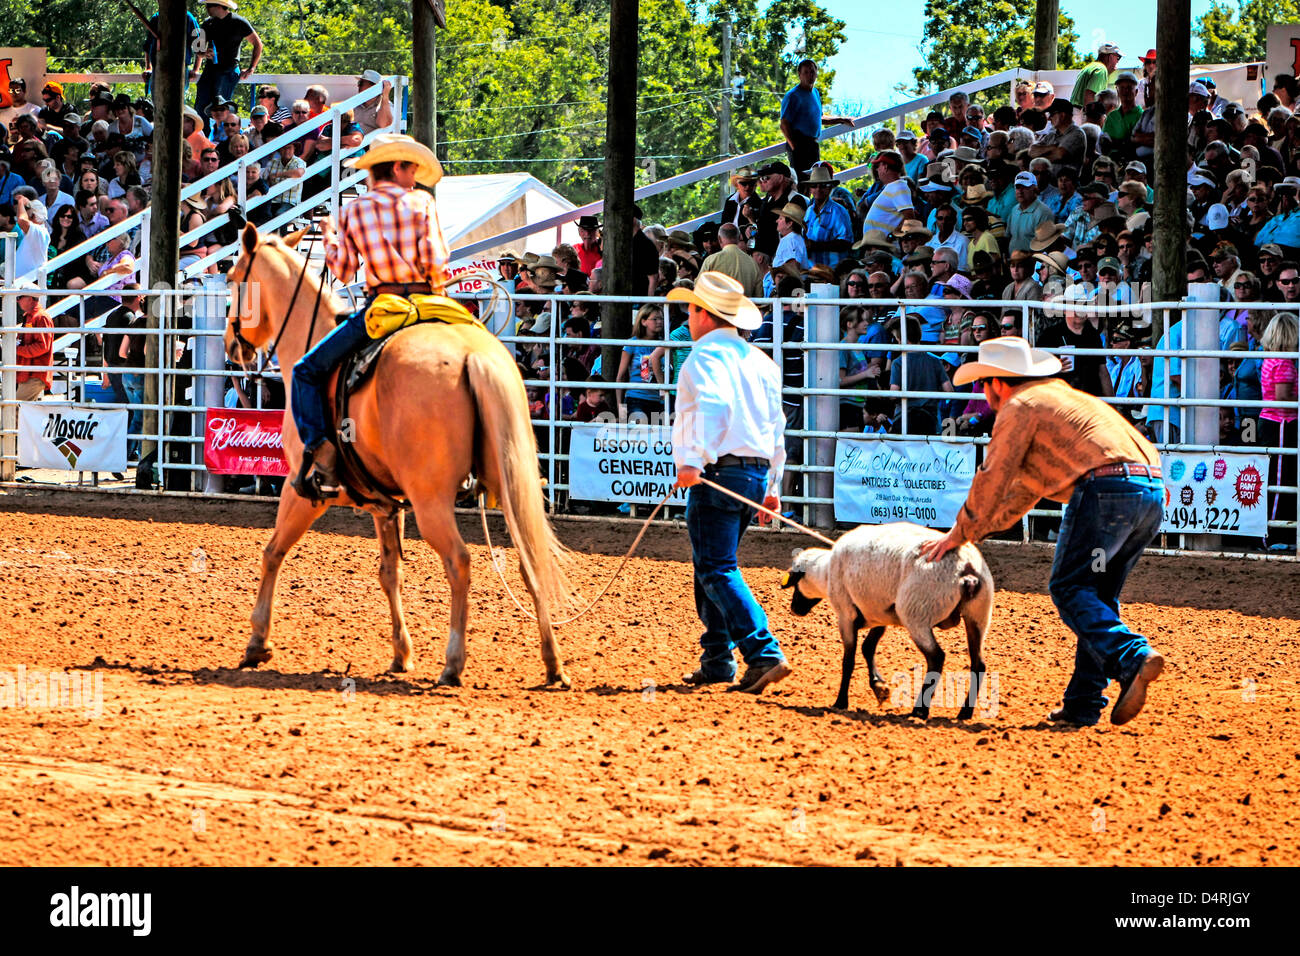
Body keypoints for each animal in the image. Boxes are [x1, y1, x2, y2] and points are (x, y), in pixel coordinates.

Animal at [223, 223, 574, 686]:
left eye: (232, 280)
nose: (231, 346)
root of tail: (474, 356)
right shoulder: (386, 506)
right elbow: (390, 573)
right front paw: (401, 654)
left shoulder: (301, 491)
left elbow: (272, 551)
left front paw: (257, 643)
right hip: (510, 485)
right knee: (530, 562)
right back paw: (552, 664)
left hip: (431, 501)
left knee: (459, 561)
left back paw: (453, 664)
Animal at [780, 522, 993, 717]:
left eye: (796, 584)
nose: (794, 609)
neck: (825, 573)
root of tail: (967, 569)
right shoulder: (879, 614)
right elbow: (867, 648)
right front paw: (879, 687)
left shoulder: (846, 614)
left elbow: (848, 660)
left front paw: (841, 702)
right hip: (978, 616)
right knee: (978, 664)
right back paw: (965, 712)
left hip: (916, 614)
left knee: (936, 657)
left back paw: (920, 710)